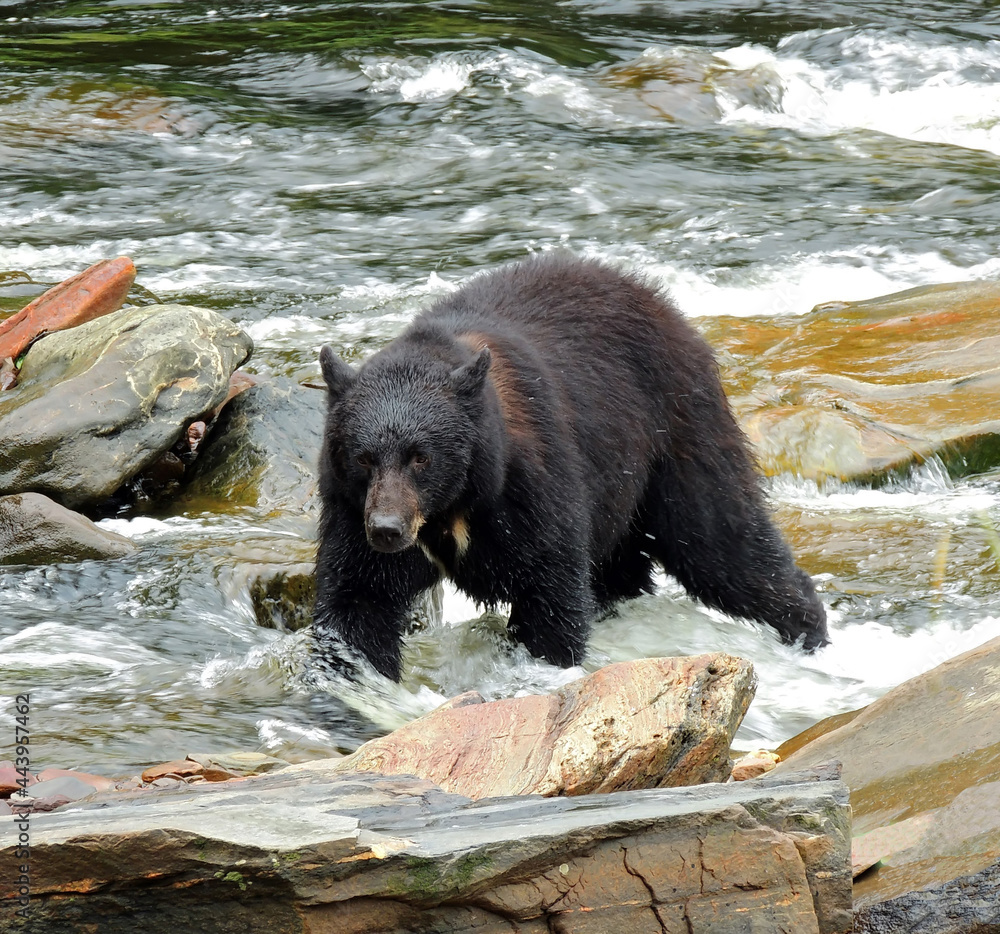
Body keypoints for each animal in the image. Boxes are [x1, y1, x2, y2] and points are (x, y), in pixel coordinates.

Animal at [313, 254, 828, 681]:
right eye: (363, 457)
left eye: (421, 456)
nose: (387, 529)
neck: (453, 508)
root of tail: (667, 306)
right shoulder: (350, 509)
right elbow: (359, 601)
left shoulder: (530, 485)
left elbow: (550, 591)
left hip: (676, 429)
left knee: (719, 540)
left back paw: (808, 628)